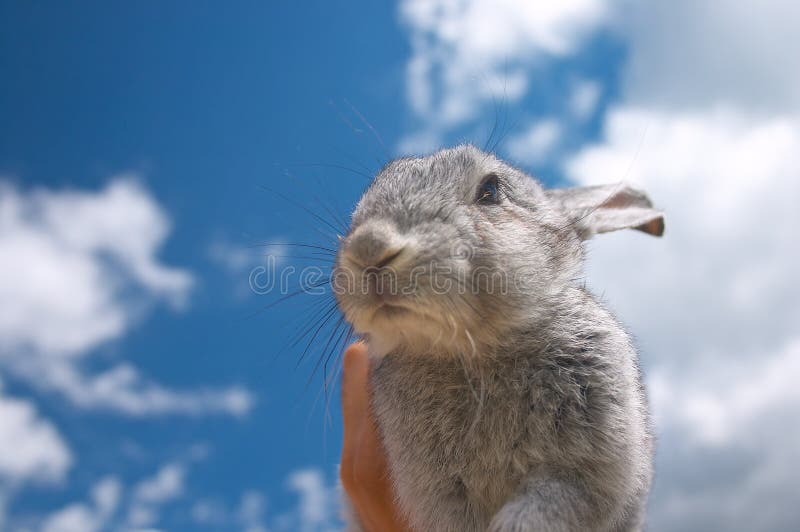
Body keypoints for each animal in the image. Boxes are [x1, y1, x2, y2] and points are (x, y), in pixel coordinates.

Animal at [334, 145, 664, 532]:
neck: (473, 351)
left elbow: (549, 502)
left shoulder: (582, 471)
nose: (369, 248)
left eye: (490, 190)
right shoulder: (442, 496)